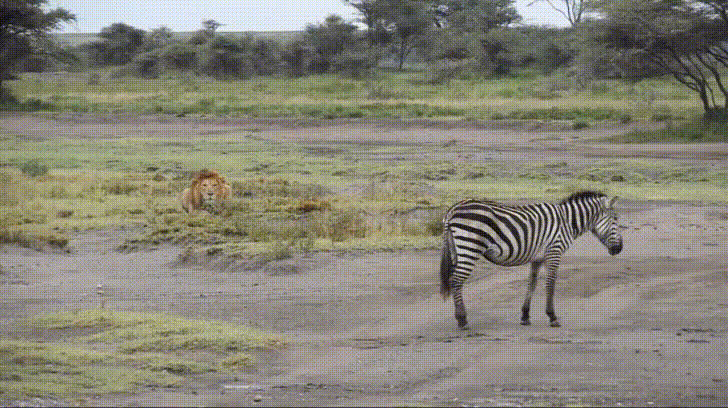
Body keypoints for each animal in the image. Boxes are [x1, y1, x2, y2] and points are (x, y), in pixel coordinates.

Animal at [440, 191, 623, 330]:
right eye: (615, 220)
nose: (619, 249)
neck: (567, 222)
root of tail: (453, 209)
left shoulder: (538, 258)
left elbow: (532, 284)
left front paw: (525, 315)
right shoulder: (554, 251)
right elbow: (550, 284)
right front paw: (552, 316)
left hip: (457, 249)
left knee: (454, 280)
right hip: (469, 246)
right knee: (456, 280)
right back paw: (462, 320)